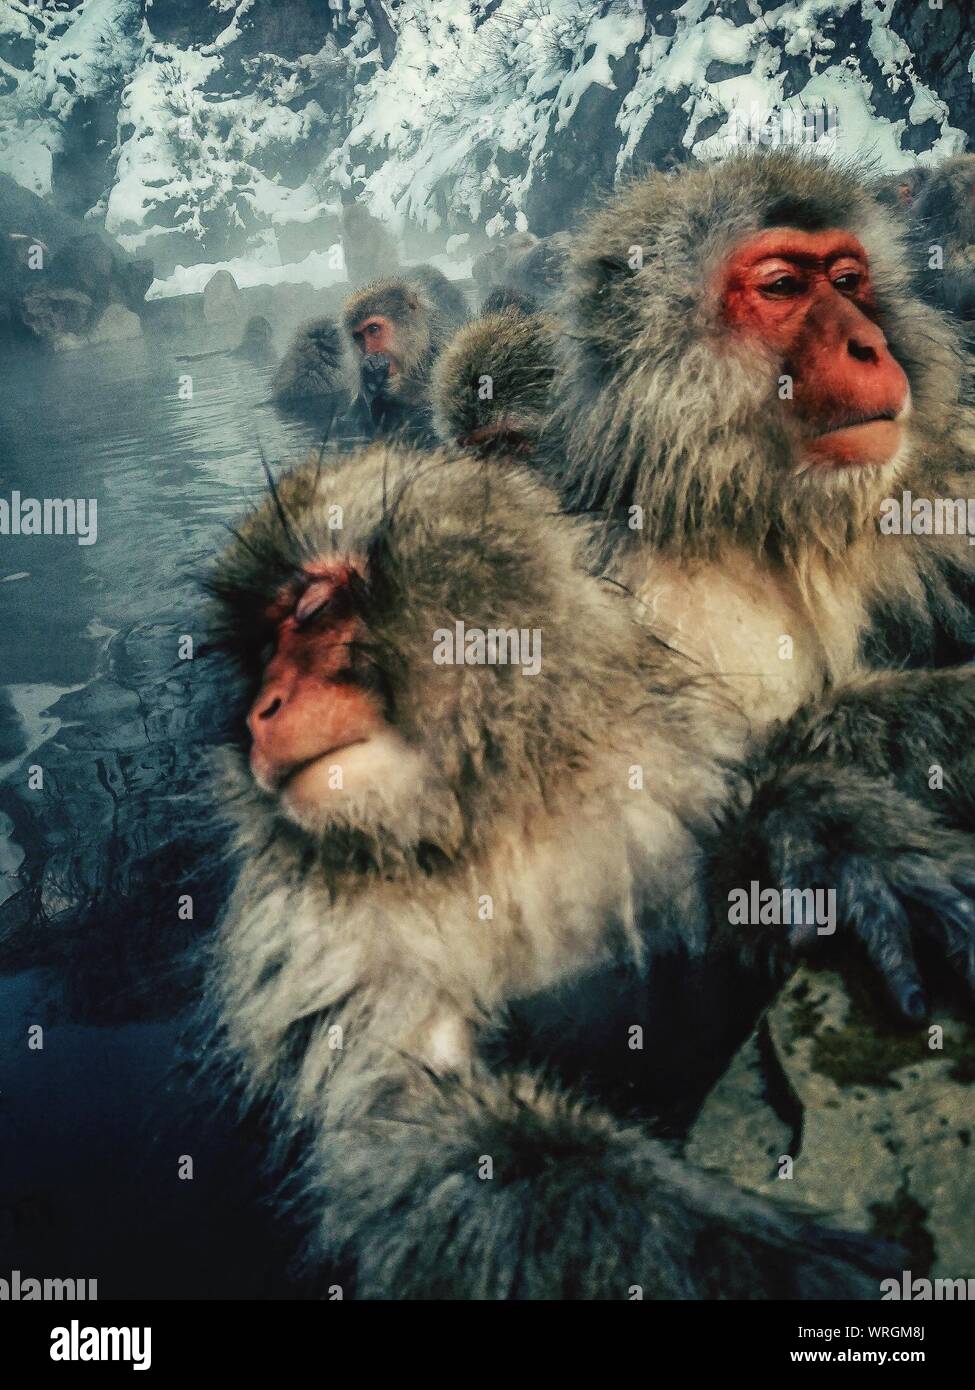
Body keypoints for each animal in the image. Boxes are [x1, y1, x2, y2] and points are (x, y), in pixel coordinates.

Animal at [204, 441, 906, 1299]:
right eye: (264, 650)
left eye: (310, 612)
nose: (260, 712)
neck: (488, 816)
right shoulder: (315, 936)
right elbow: (415, 1128)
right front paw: (753, 1257)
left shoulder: (667, 788)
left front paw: (828, 835)